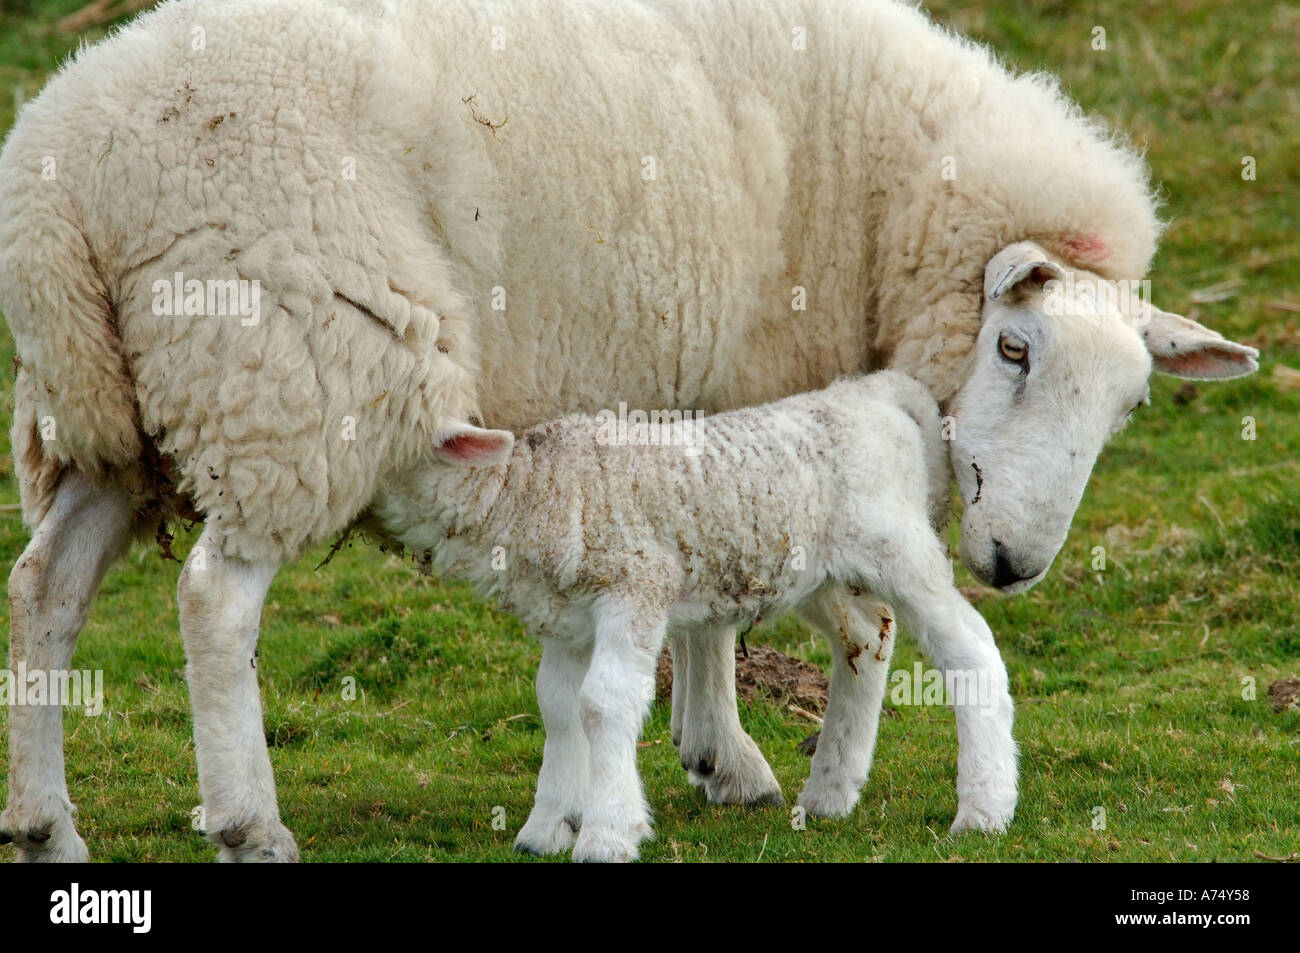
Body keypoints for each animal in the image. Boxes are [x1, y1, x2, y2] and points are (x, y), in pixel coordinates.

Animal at [369, 370, 1015, 861]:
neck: (533, 491)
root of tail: (875, 392)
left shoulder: (635, 587)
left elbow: (603, 703)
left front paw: (607, 833)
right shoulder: (564, 619)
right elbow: (556, 706)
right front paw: (544, 829)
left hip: (898, 546)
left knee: (970, 647)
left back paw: (984, 807)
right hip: (821, 569)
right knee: (865, 639)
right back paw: (830, 793)